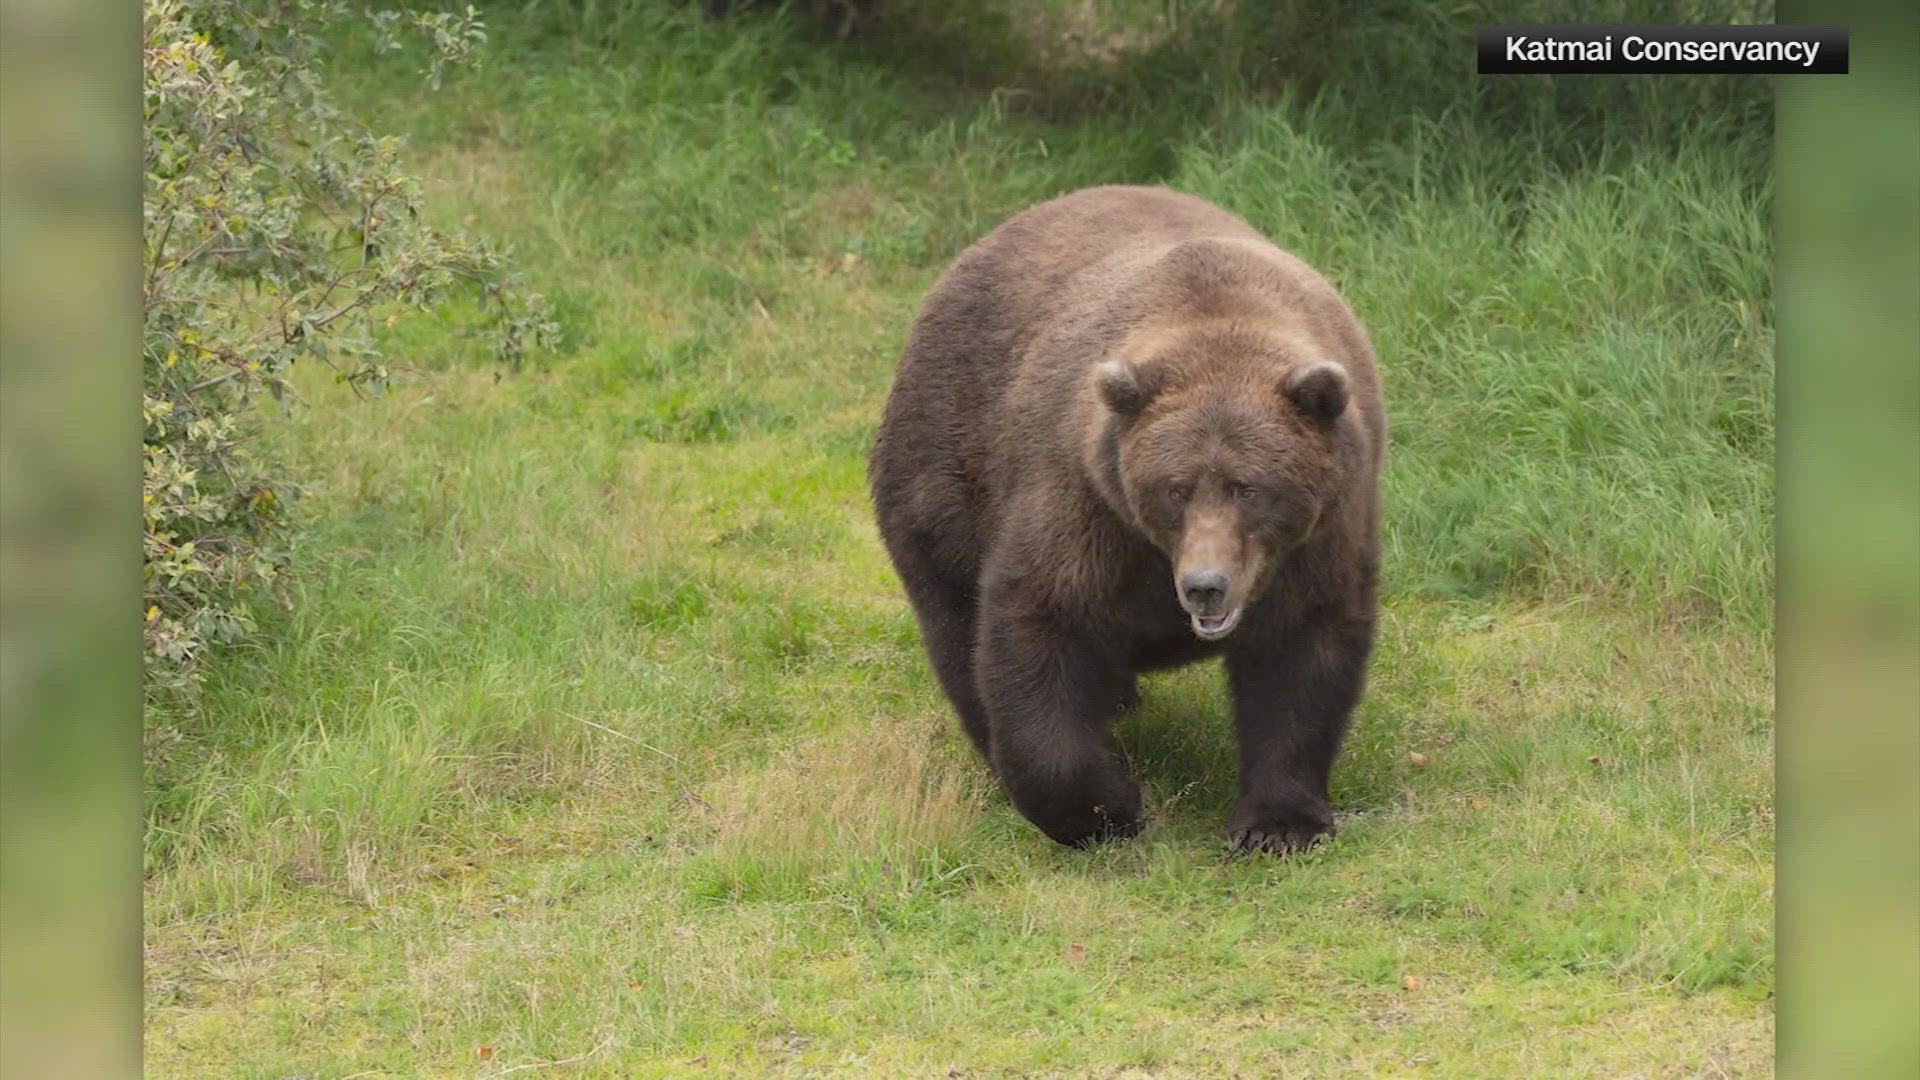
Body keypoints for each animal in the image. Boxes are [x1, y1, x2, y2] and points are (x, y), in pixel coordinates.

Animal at [868, 185, 1384, 854]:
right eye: (1176, 488)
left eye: (1249, 488)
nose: (1206, 586)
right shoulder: (1087, 506)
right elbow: (1038, 624)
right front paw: (1110, 807)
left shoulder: (1320, 534)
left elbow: (1301, 657)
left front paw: (1278, 824)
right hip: (945, 460)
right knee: (955, 620)